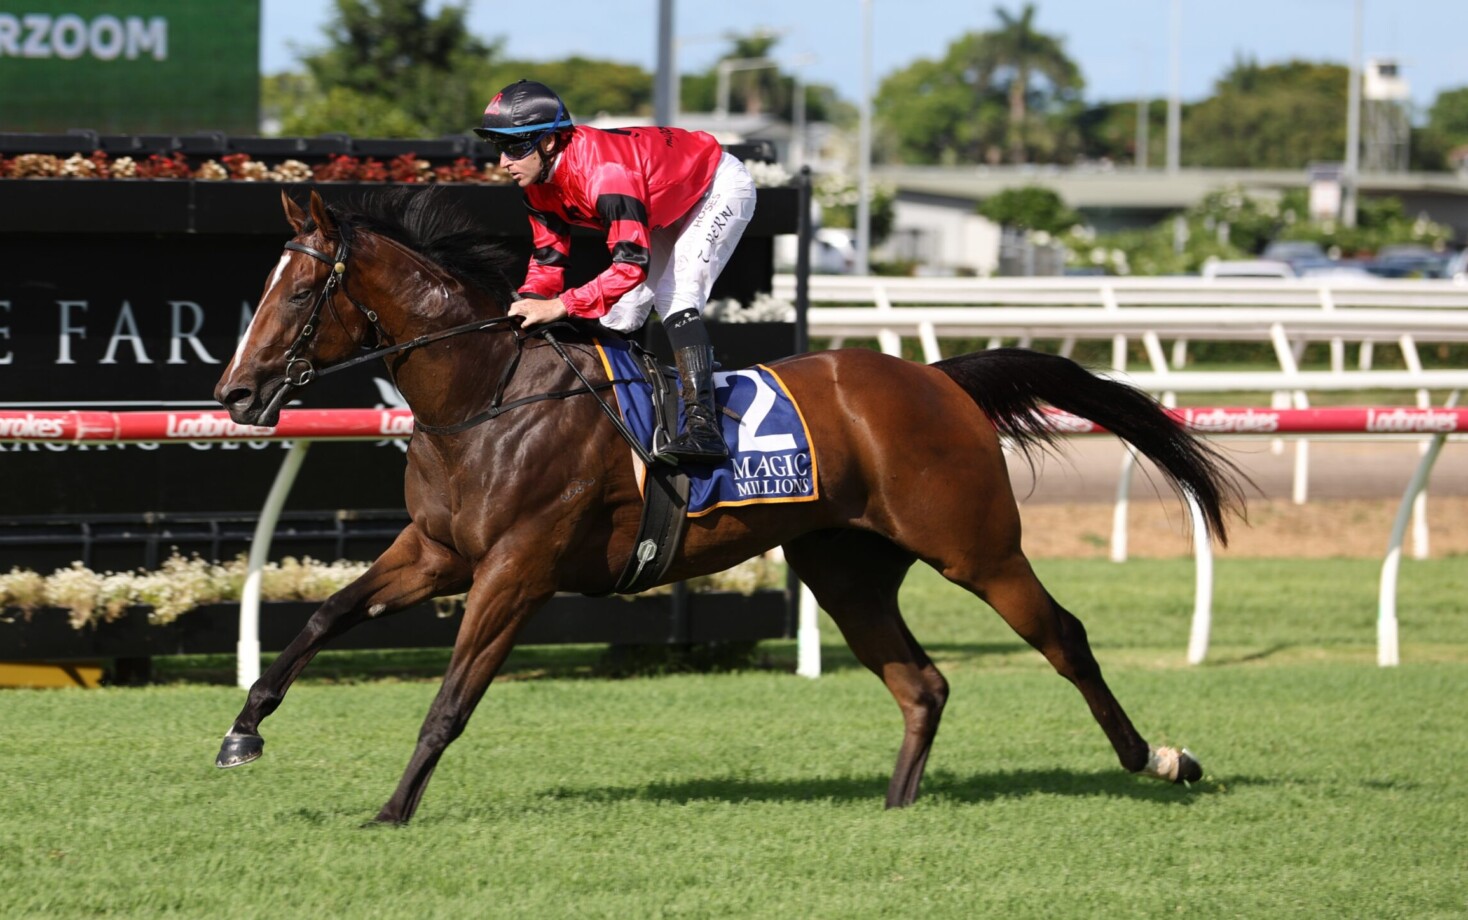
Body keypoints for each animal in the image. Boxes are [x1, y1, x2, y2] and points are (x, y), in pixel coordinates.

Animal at [212, 187, 1247, 825]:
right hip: (843, 567)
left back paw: (1159, 759)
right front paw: (242, 731)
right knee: (921, 683)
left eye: (297, 293)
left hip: (976, 546)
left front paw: (392, 808)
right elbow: (324, 618)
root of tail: (937, 376)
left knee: (1063, 637)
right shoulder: (435, 551)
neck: (486, 393)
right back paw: (895, 810)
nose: (234, 394)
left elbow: (452, 698)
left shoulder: (517, 568)